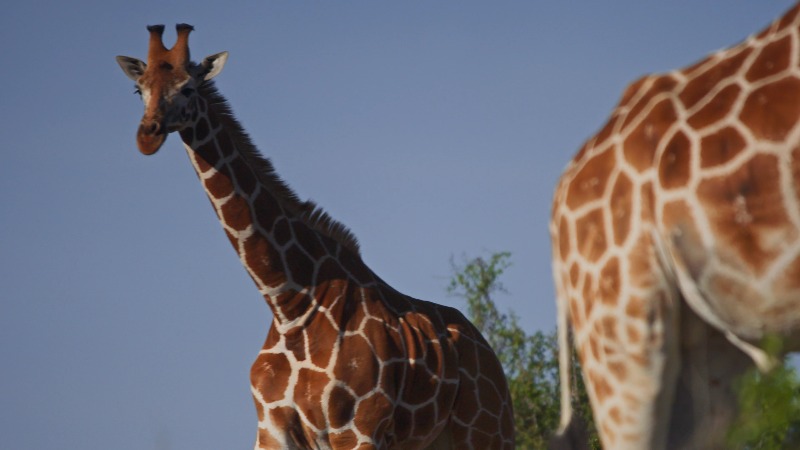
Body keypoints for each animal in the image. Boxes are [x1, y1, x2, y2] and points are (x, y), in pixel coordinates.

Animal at [116, 24, 514, 449]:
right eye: (139, 89)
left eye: (188, 88)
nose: (147, 135)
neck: (288, 303)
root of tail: (487, 352)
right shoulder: (271, 430)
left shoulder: (357, 428)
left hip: (486, 433)